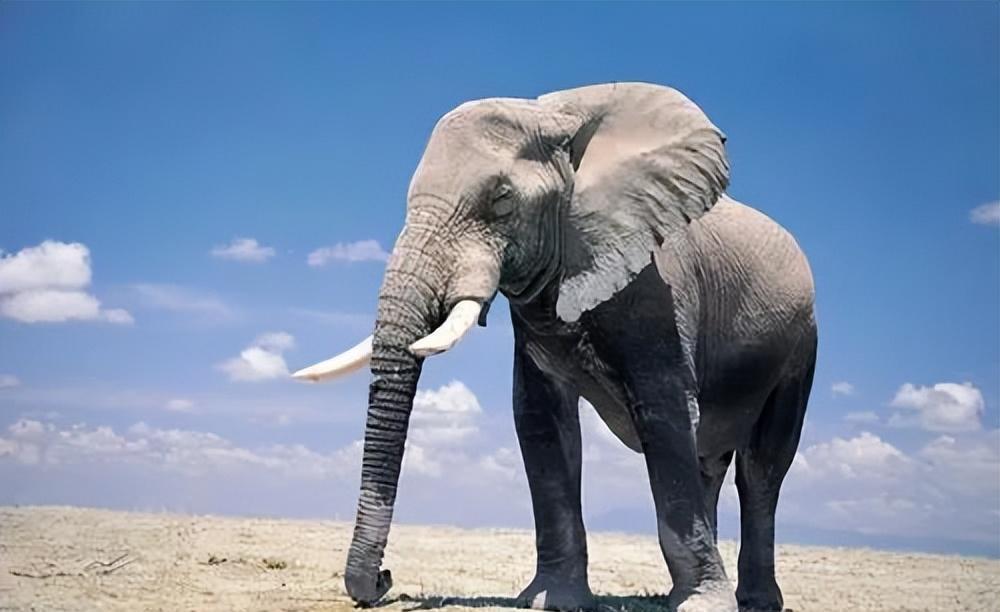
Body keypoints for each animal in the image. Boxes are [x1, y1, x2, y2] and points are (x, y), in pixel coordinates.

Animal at [293, 82, 817, 612]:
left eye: (502, 200)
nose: (384, 579)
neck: (556, 116)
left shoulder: (660, 292)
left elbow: (666, 416)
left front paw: (702, 607)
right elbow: (542, 423)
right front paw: (555, 600)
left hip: (801, 345)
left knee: (761, 468)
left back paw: (754, 601)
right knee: (710, 462)